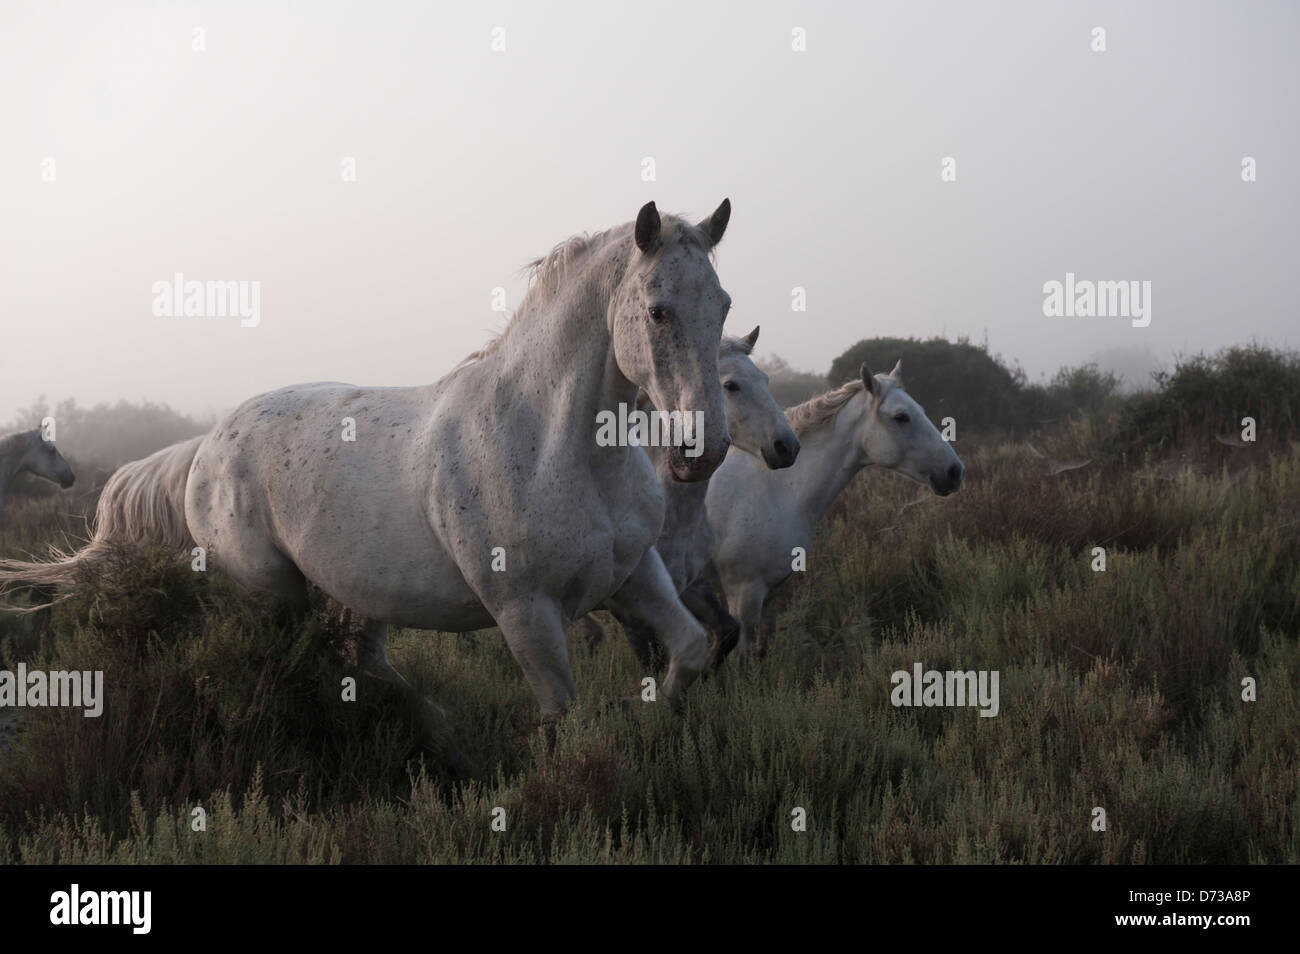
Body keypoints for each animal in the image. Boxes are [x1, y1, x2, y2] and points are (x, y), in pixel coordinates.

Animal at [0, 200, 735, 763]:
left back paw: (442, 732)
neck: (558, 443)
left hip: (360, 594)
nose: (704, 450)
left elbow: (690, 650)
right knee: (301, 663)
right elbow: (564, 717)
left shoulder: (634, 573)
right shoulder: (525, 611)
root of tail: (206, 443)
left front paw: (647, 711)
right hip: (274, 591)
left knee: (365, 663)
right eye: (659, 309)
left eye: (723, 305)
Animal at [572, 326, 800, 667]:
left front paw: (709, 671)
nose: (787, 446)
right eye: (730, 385)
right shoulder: (629, 613)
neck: (674, 518)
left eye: (765, 379)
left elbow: (729, 631)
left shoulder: (690, 586)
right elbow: (652, 662)